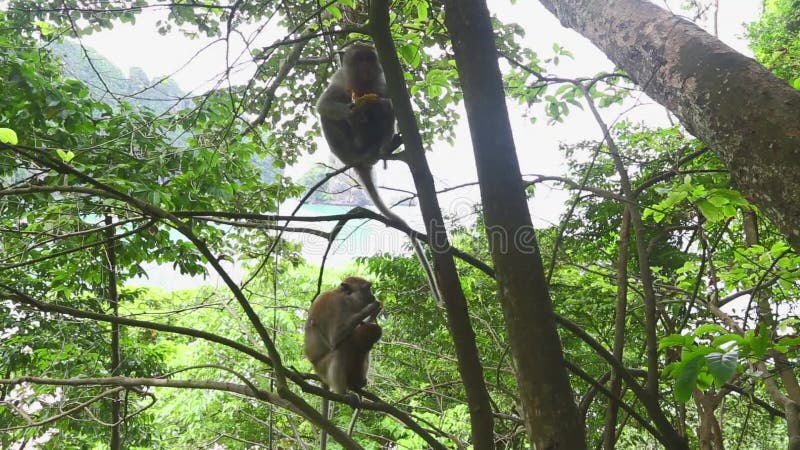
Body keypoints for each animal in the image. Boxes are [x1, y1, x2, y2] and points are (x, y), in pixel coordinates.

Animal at [316, 43, 443, 307]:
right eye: (359, 59)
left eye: (369, 58)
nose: (365, 66)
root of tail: (361, 160)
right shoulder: (339, 78)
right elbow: (324, 105)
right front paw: (354, 109)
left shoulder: (382, 82)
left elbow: (390, 103)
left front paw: (378, 106)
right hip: (344, 149)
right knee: (329, 115)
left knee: (386, 116)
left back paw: (384, 147)